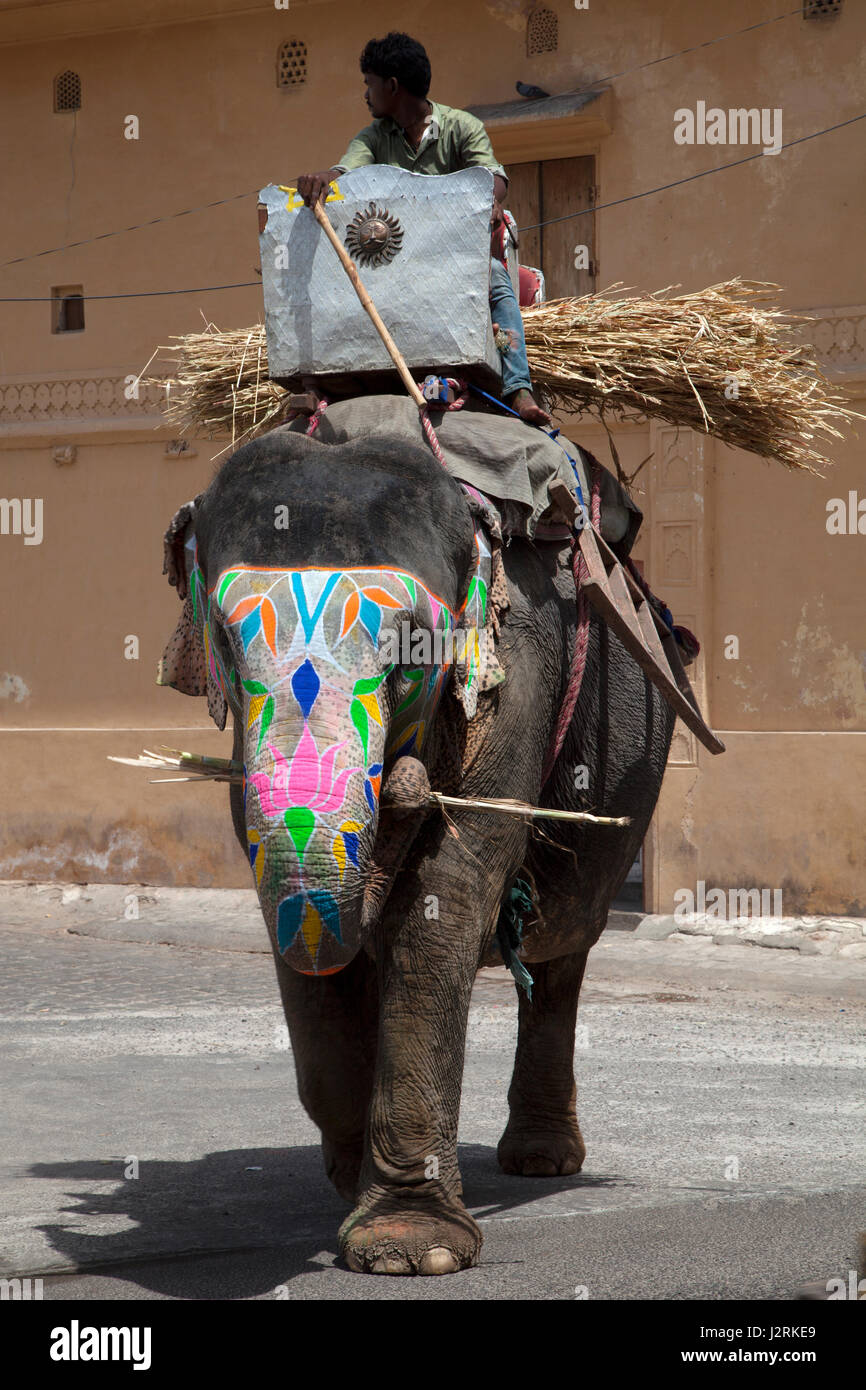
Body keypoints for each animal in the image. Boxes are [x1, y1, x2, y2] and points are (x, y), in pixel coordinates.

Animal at [160, 418, 675, 1276]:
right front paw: (349, 1176)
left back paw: (541, 1160)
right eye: (227, 652)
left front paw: (411, 1249)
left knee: (563, 946)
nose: (400, 783)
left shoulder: (515, 672)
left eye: (410, 661)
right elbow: (294, 920)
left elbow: (446, 897)